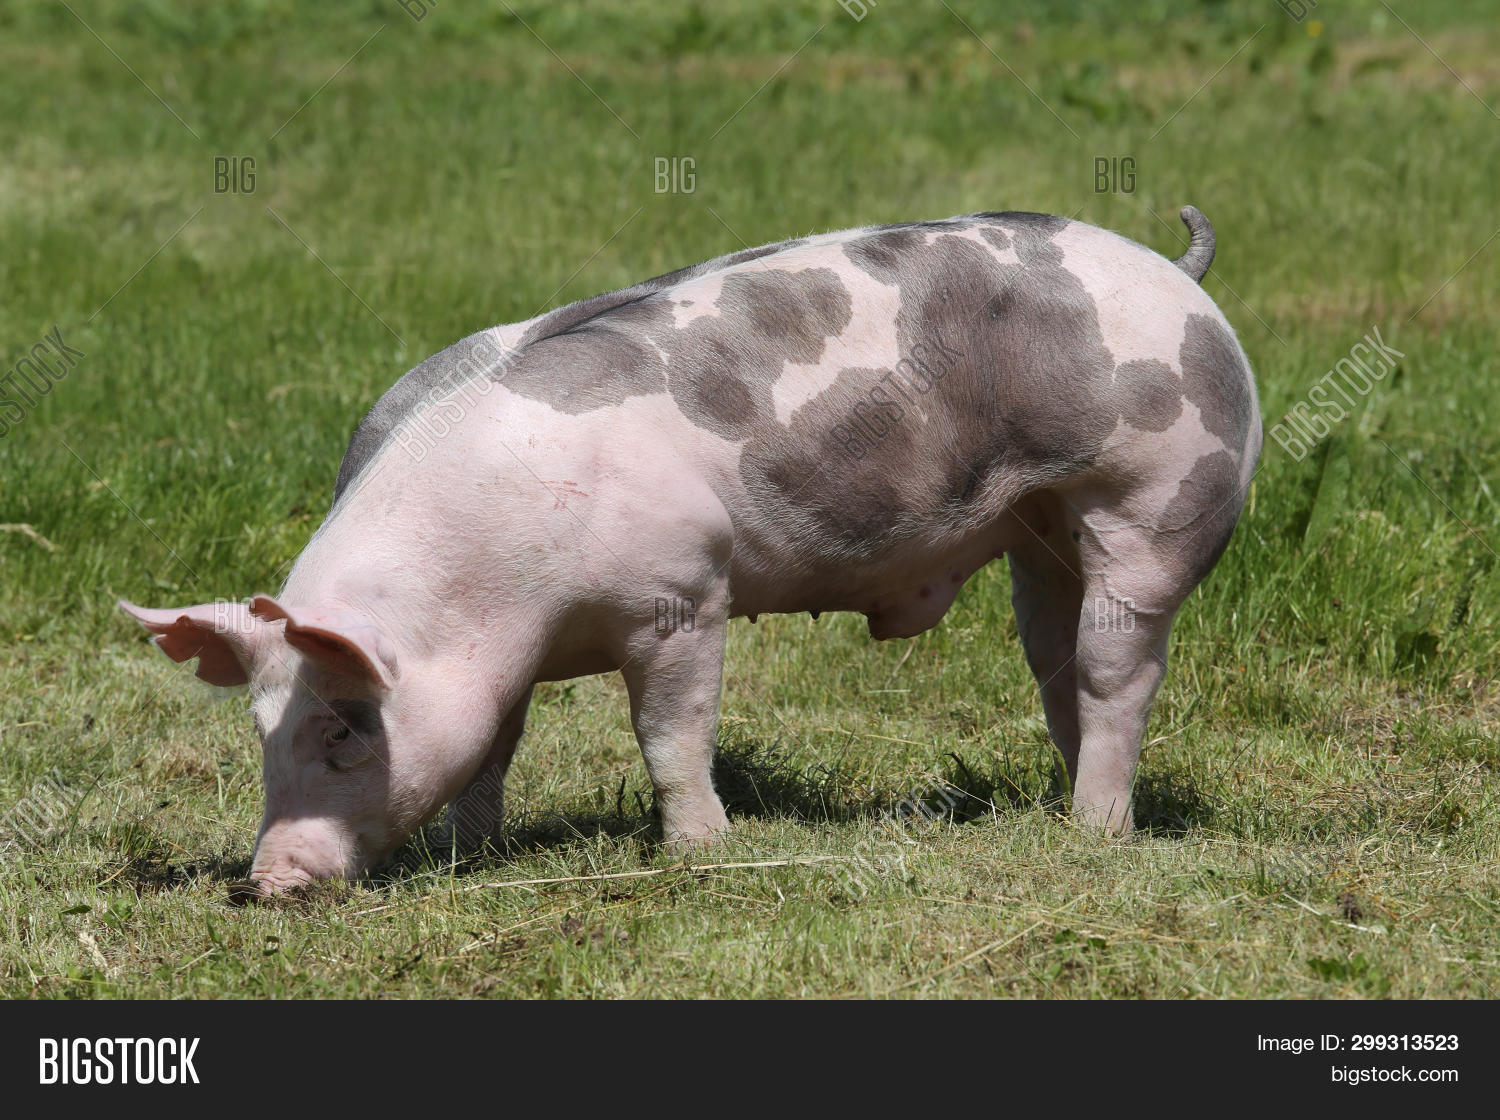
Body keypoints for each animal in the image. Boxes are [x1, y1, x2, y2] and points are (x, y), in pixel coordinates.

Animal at [120, 206, 1260, 895]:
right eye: (262, 730)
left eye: (347, 728)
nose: (271, 879)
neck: (491, 593)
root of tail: (1181, 273)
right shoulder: (503, 661)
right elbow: (491, 745)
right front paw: (470, 851)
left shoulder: (682, 594)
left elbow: (670, 733)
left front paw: (701, 854)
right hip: (1043, 529)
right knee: (1055, 656)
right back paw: (1065, 806)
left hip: (1155, 499)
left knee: (1120, 664)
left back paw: (1095, 833)